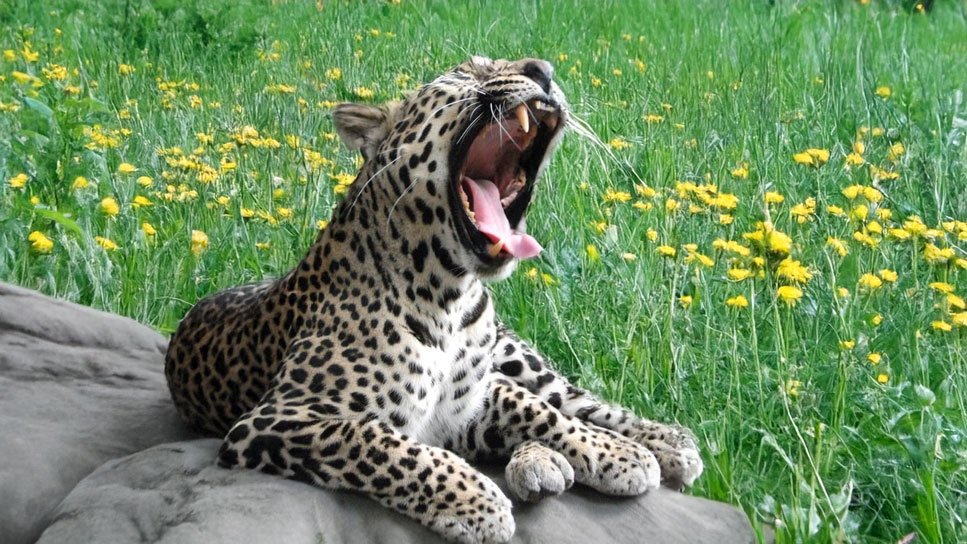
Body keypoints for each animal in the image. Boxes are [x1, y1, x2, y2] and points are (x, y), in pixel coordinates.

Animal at [164, 56, 703, 544]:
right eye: (470, 70)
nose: (544, 70)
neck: (447, 295)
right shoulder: (276, 419)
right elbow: (376, 442)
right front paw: (477, 501)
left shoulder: (474, 400)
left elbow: (536, 410)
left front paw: (617, 453)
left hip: (515, 354)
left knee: (575, 399)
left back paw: (666, 442)